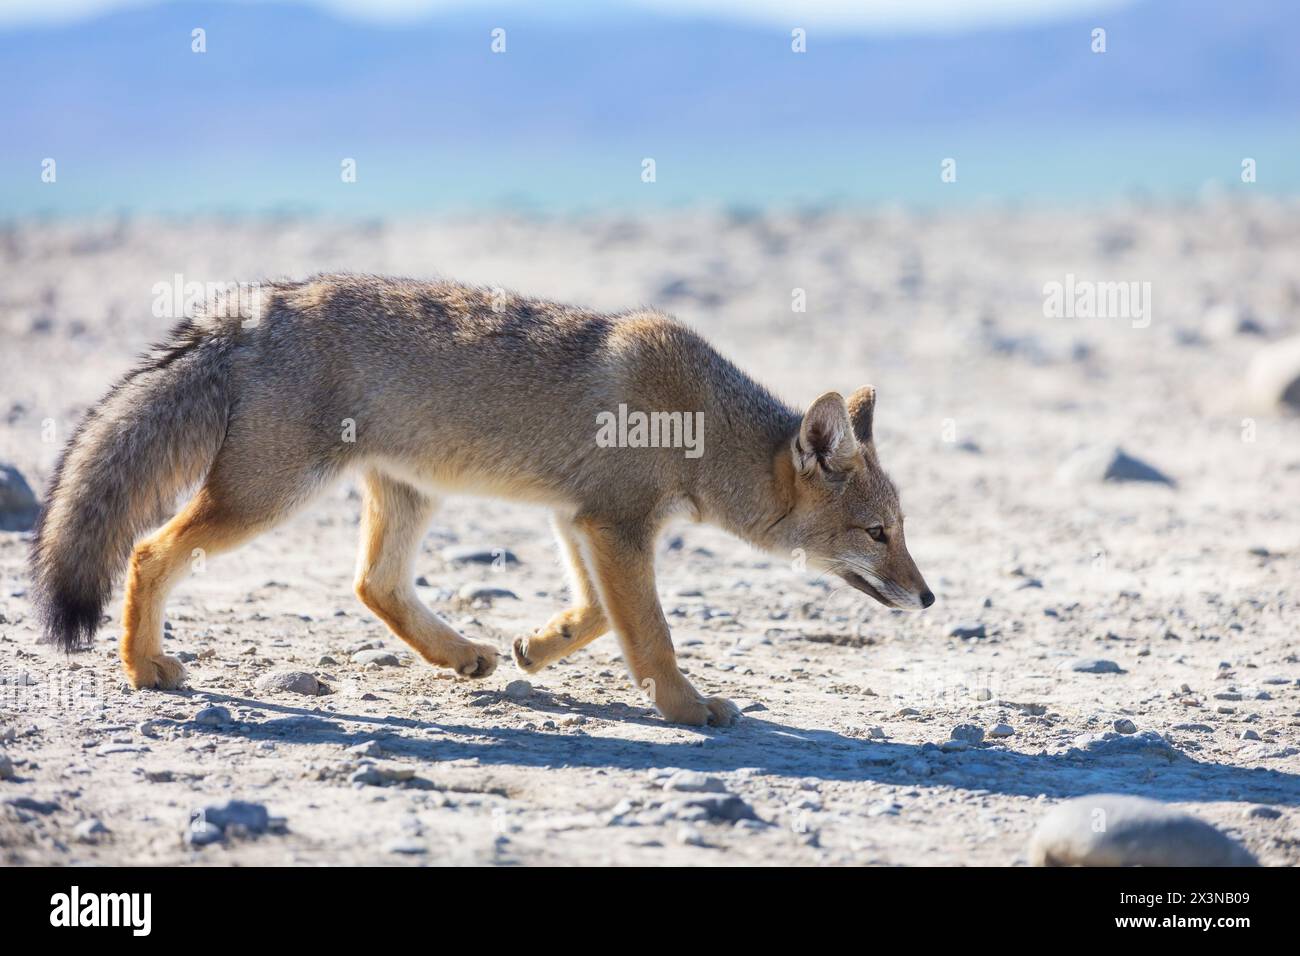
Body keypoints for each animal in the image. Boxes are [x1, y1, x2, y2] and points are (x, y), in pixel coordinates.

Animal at [30, 274, 934, 726]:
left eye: (901, 530)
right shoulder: (615, 524)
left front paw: (541, 642)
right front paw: (686, 707)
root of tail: (257, 307)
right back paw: (142, 665)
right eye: (878, 533)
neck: (703, 421)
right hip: (267, 496)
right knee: (150, 548)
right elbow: (652, 634)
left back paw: (463, 653)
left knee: (374, 585)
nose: (929, 598)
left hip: (406, 495)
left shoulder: (584, 518)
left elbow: (601, 615)